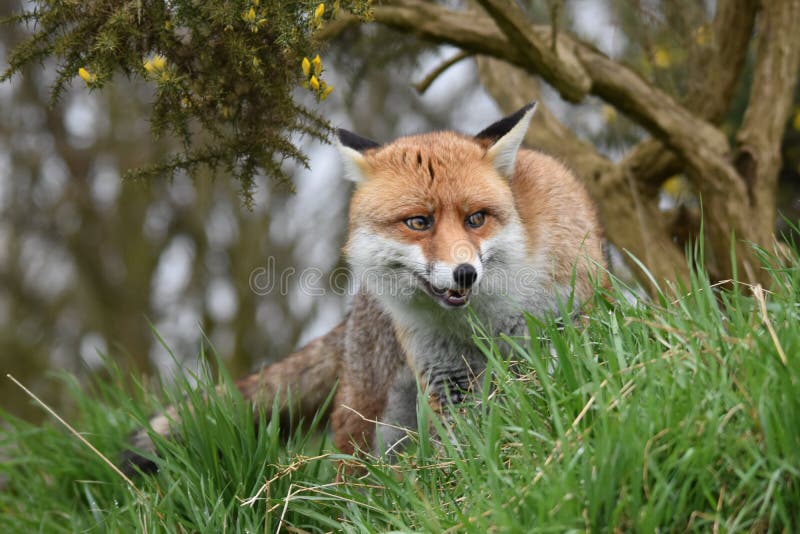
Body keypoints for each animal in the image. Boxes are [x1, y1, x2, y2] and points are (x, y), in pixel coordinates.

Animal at [123, 102, 607, 472]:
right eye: (419, 222)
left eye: (476, 219)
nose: (465, 273)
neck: (480, 320)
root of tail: (354, 313)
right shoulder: (446, 374)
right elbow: (464, 439)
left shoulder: (556, 327)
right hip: (372, 416)